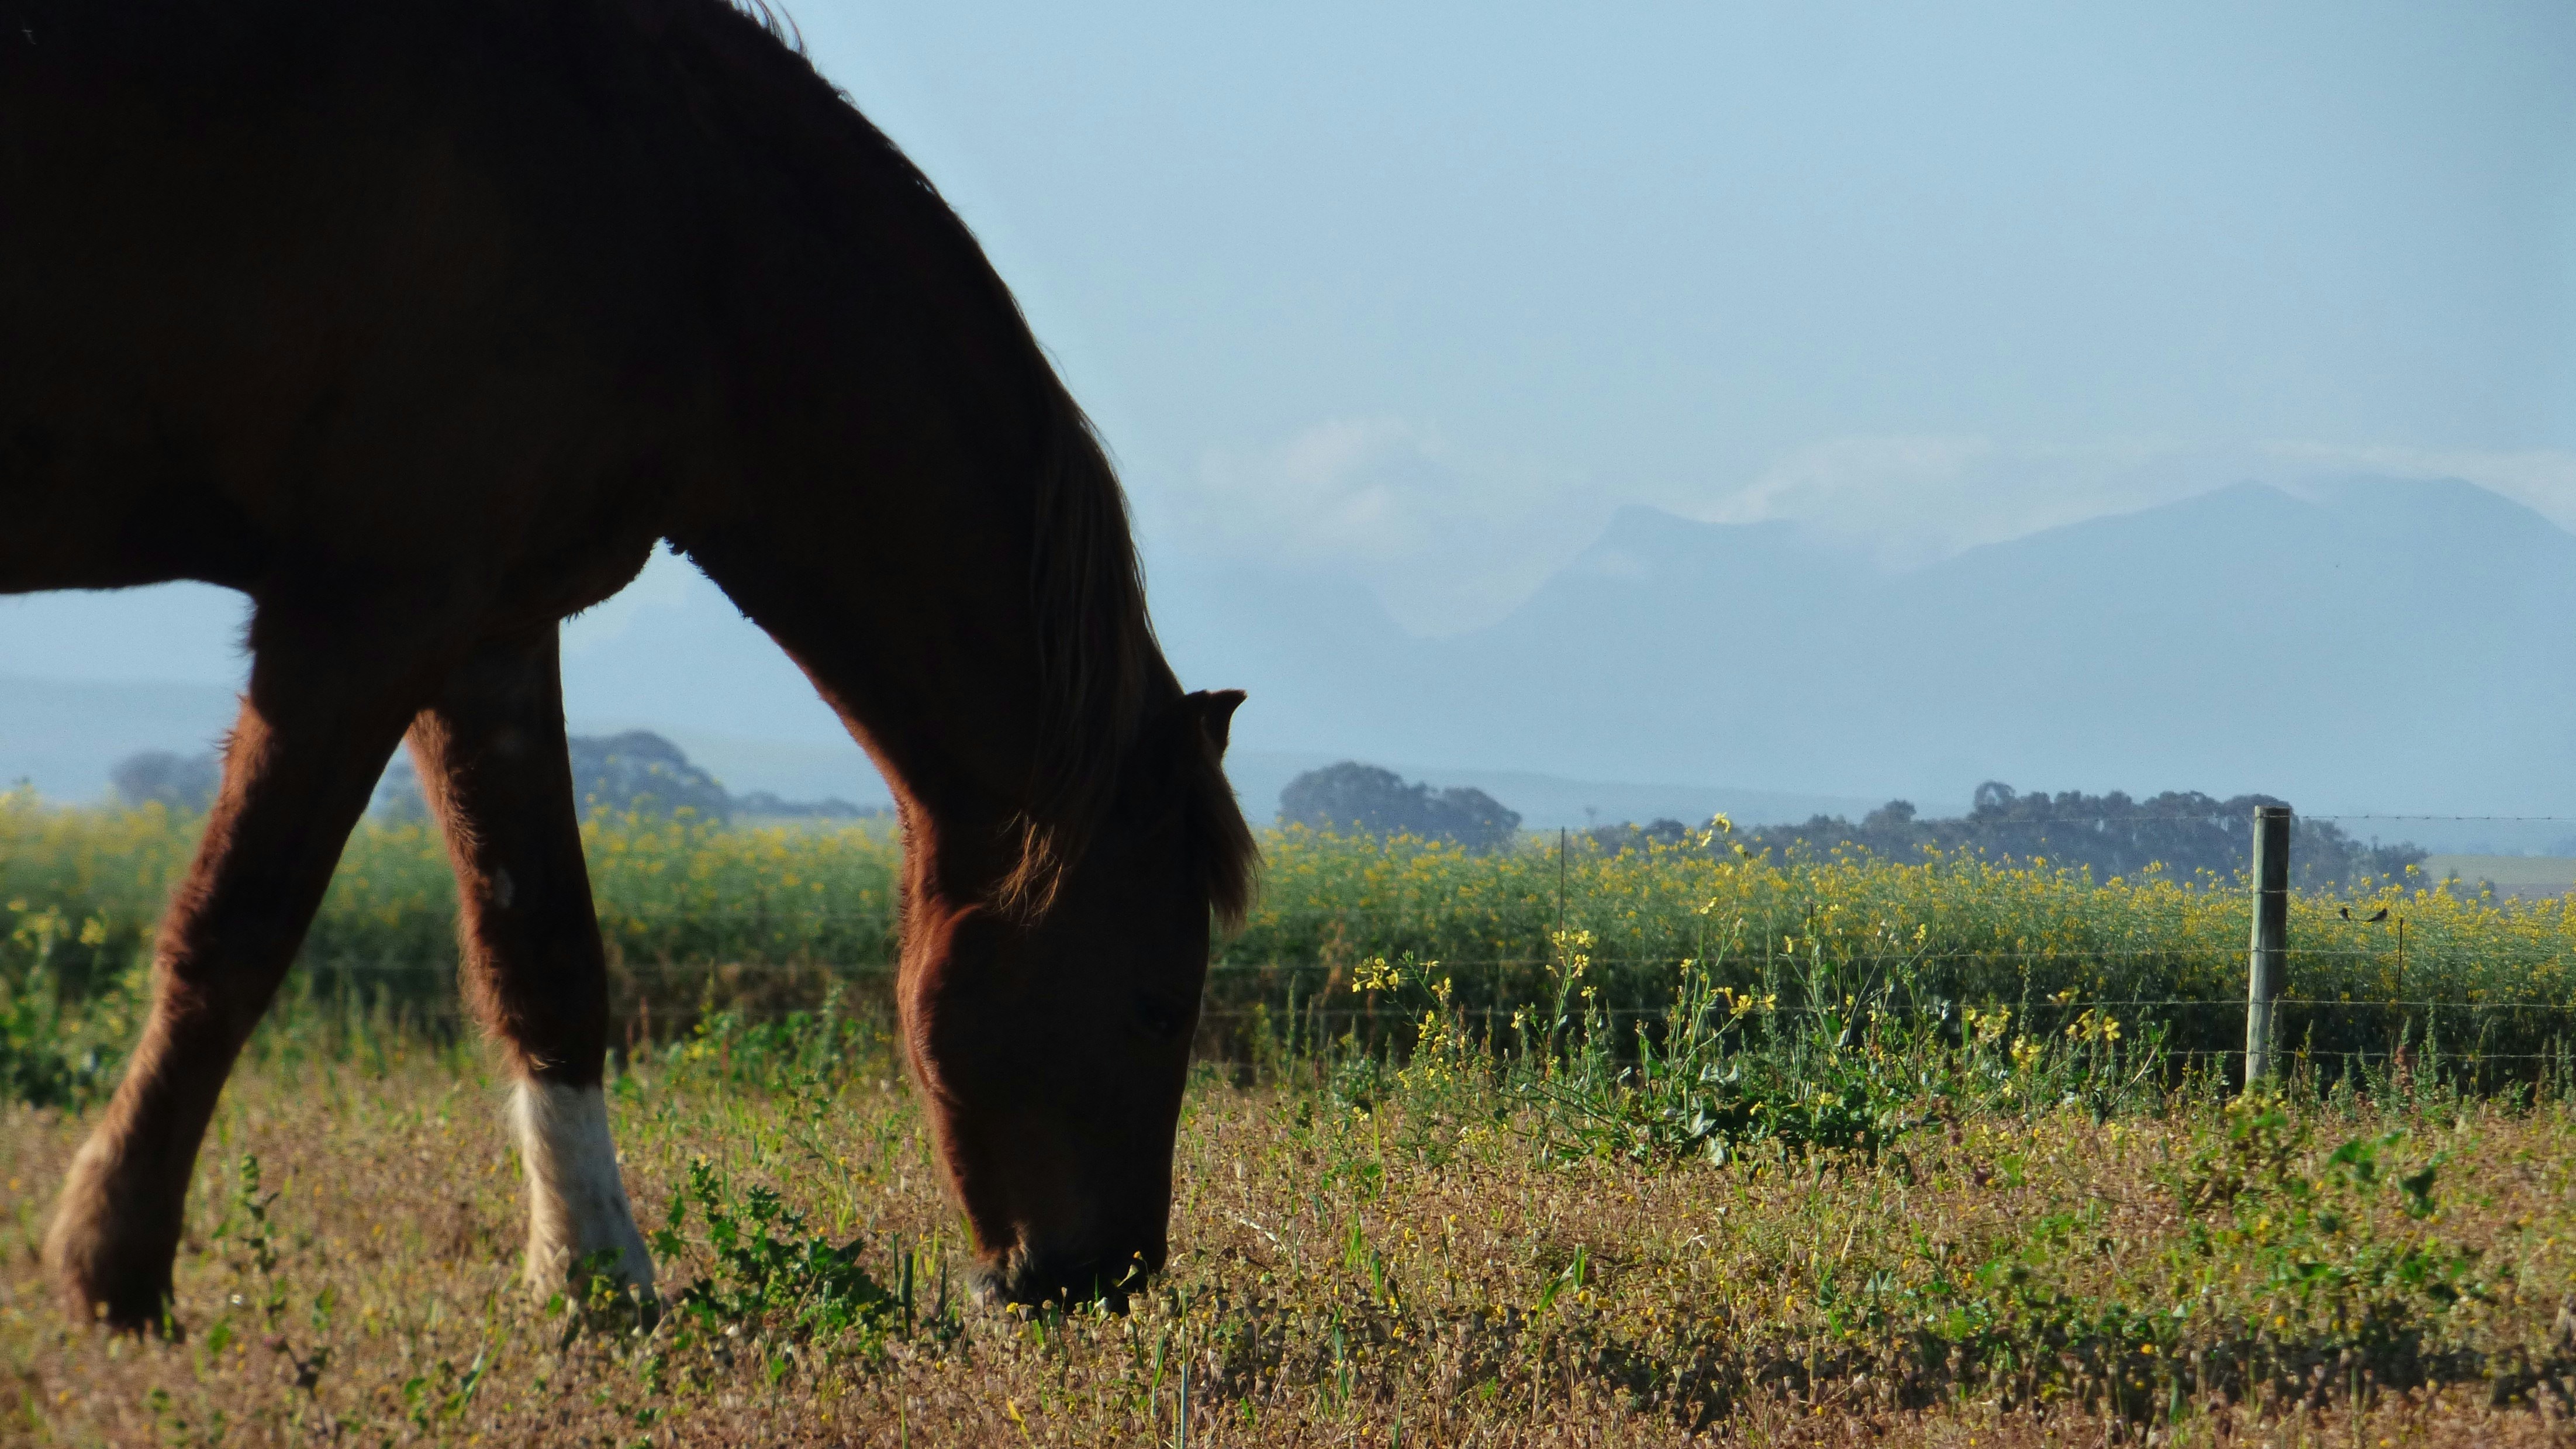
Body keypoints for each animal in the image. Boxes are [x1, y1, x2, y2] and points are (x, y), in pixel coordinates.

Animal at [1, 0, 1257, 1330]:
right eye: (1160, 1005)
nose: (1102, 1278)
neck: (673, 213)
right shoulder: (362, 611)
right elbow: (235, 928)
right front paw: (112, 1267)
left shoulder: (486, 626)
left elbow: (544, 948)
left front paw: (594, 1276)